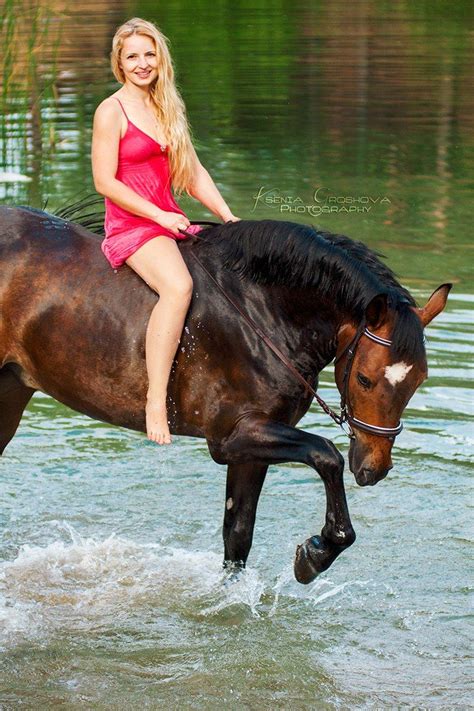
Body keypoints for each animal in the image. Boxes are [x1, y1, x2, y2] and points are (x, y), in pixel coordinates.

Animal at [0, 205, 450, 583]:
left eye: (418, 381)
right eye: (365, 380)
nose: (375, 469)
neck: (262, 312)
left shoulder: (253, 446)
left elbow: (238, 533)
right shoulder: (232, 437)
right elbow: (326, 455)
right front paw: (318, 553)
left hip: (12, 389)